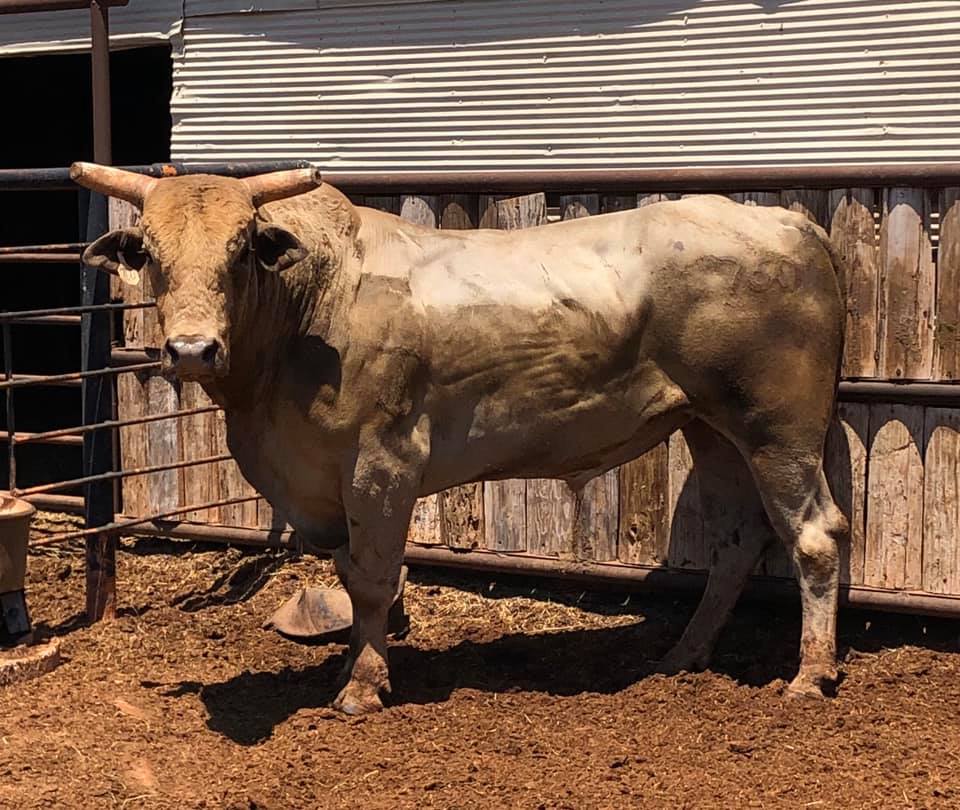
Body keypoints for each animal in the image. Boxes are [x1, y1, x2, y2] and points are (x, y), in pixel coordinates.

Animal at [72, 162, 848, 715]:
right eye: (148, 252)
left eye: (240, 250)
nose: (192, 349)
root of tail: (788, 221)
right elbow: (351, 577)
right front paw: (354, 662)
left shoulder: (383, 464)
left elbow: (374, 577)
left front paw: (363, 685)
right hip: (708, 427)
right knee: (736, 540)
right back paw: (681, 658)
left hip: (778, 427)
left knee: (814, 534)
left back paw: (810, 674)